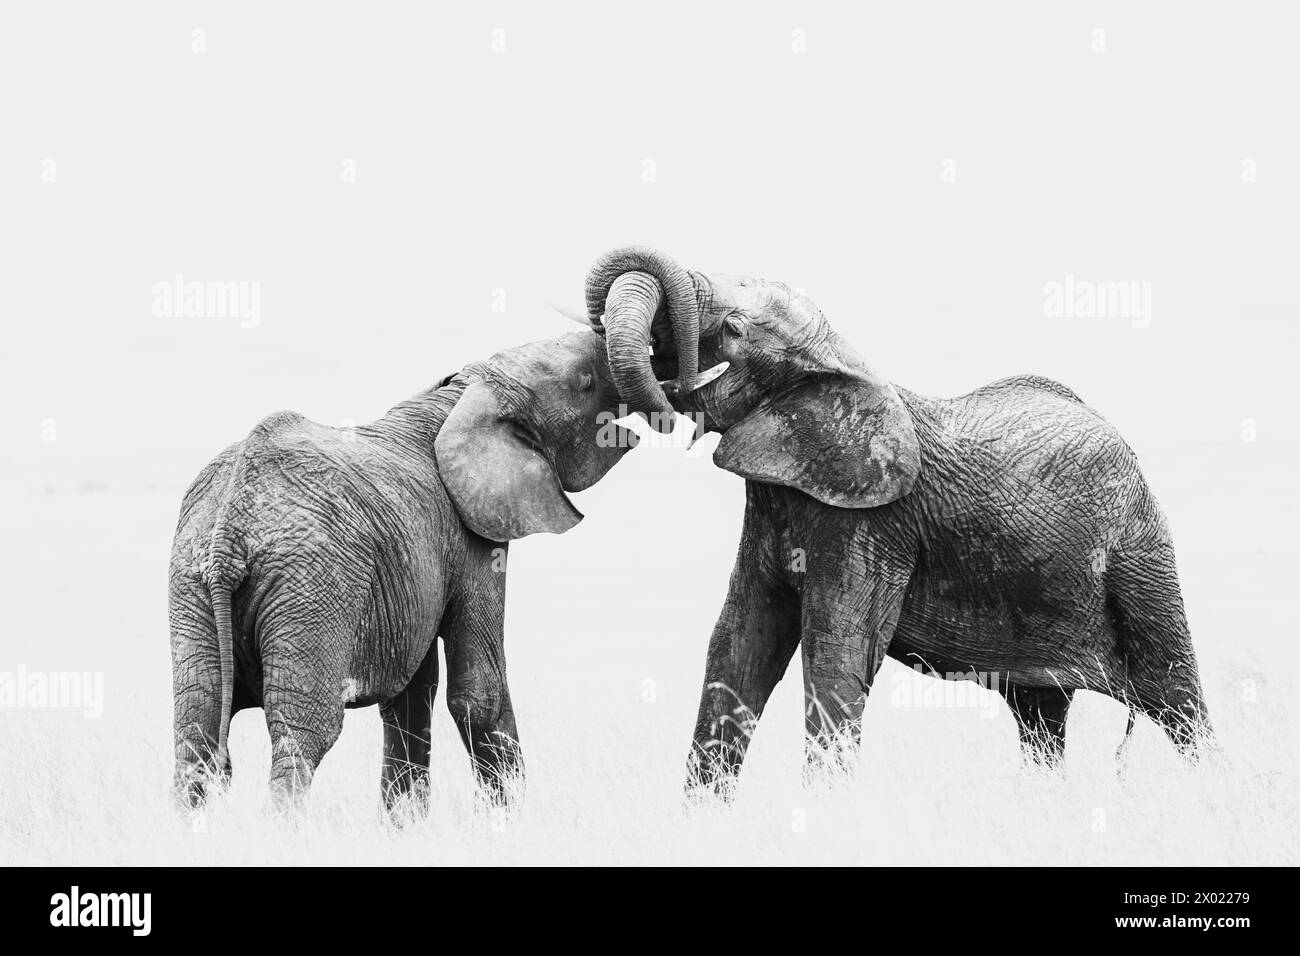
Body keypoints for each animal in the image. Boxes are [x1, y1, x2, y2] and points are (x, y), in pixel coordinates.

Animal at [168, 329, 644, 810]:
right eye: (585, 383)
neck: (463, 392)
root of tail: (230, 528)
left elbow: (412, 697)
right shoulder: (472, 537)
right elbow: (479, 692)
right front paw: (507, 821)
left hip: (191, 585)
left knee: (197, 731)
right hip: (311, 589)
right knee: (302, 734)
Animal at [583, 245, 1213, 786]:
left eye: (734, 330)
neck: (843, 363)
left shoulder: (873, 521)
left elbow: (837, 652)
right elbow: (739, 643)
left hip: (1141, 549)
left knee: (1176, 697)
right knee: (1040, 715)